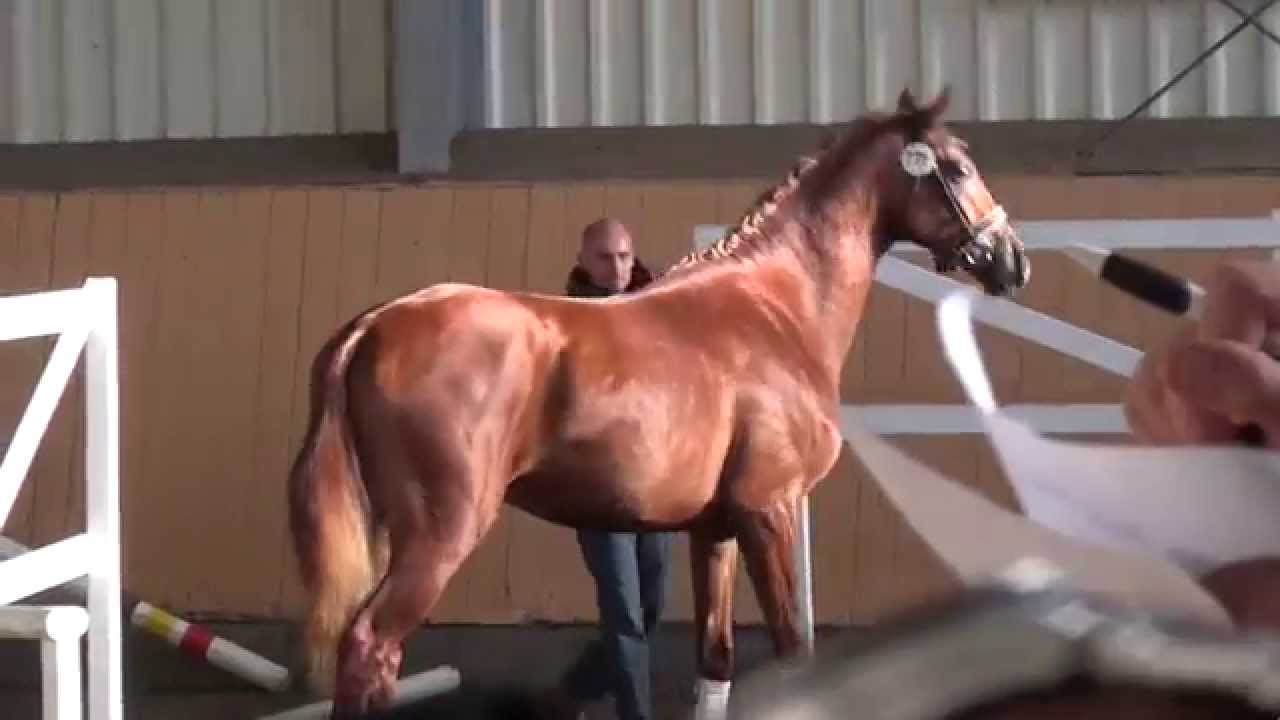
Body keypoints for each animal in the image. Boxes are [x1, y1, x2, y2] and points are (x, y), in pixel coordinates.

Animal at [286, 86, 1032, 717]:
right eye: (957, 167)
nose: (1012, 259)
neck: (779, 307)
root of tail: (377, 324)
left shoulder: (714, 530)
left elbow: (715, 661)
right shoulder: (771, 511)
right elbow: (793, 651)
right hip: (440, 534)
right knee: (370, 646)